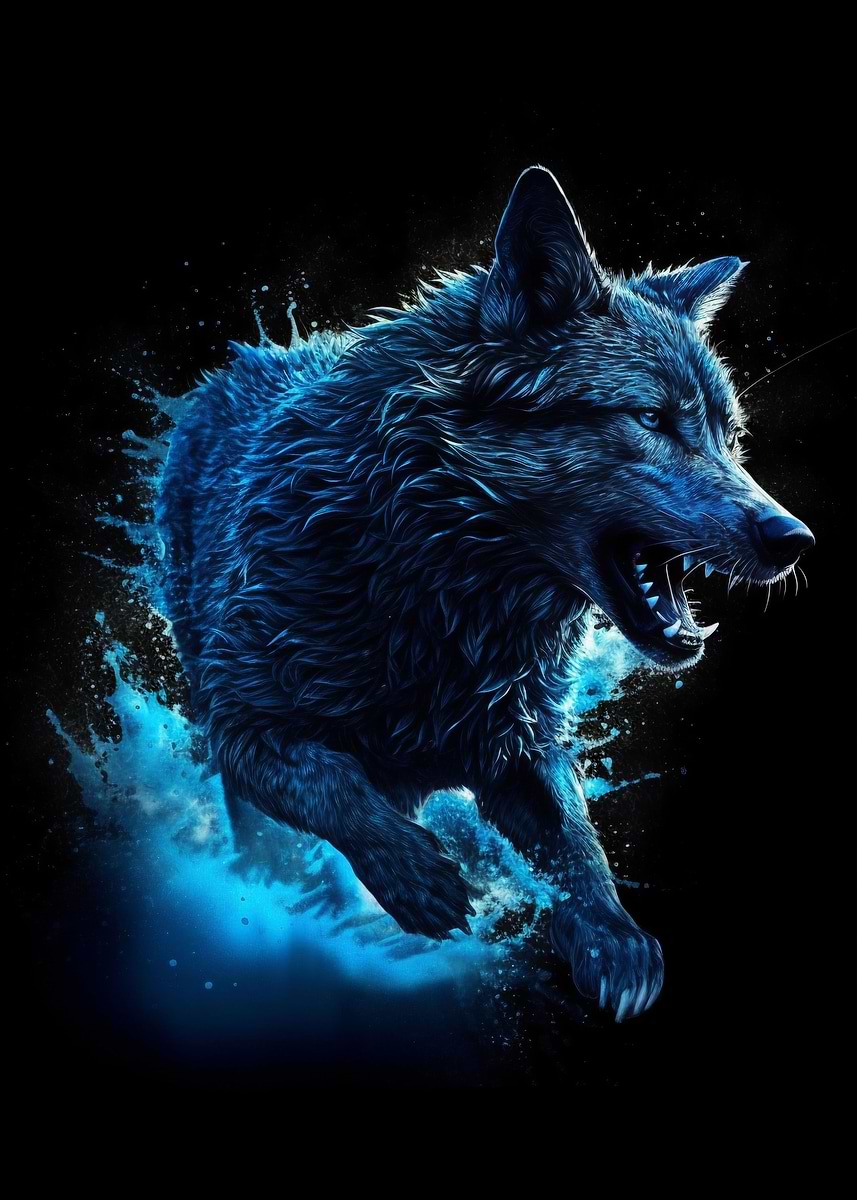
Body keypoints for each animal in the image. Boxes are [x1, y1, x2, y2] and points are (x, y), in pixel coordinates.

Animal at [156, 167, 814, 1021]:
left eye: (728, 437)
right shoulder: (243, 724)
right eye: (649, 418)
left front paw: (612, 940)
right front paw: (419, 881)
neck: (440, 593)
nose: (792, 538)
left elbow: (576, 844)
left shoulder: (522, 743)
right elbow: (333, 783)